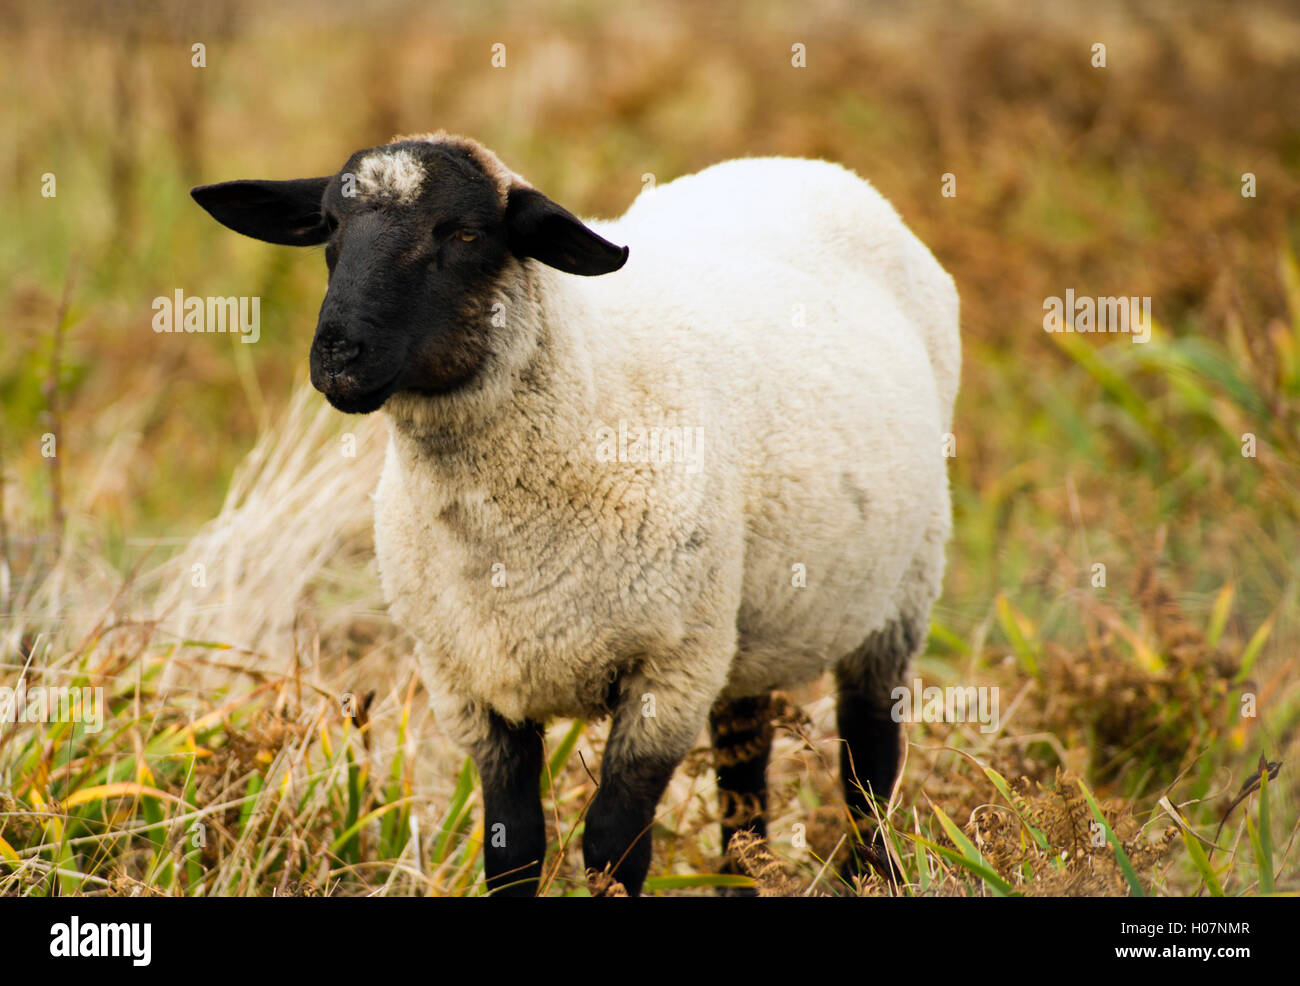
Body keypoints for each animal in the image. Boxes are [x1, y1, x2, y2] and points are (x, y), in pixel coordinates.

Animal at [191, 131, 960, 896]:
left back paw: (871, 871)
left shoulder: (668, 673)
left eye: (464, 233)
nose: (339, 356)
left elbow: (613, 847)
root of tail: (803, 165)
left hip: (899, 589)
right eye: (329, 227)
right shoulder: (469, 684)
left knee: (868, 762)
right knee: (744, 761)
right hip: (744, 625)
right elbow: (513, 848)